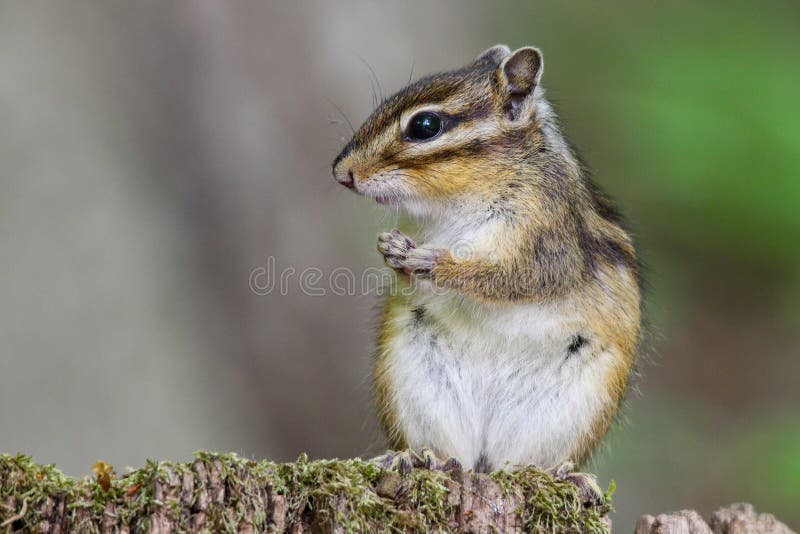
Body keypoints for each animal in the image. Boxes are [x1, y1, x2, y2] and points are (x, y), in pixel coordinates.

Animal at [332, 45, 642, 487]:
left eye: (424, 125)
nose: (341, 173)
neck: (460, 203)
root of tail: (485, 462)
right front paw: (392, 249)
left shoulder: (550, 242)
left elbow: (512, 277)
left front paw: (435, 261)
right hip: (414, 383)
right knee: (448, 452)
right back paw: (418, 459)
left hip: (573, 410)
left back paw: (563, 474)